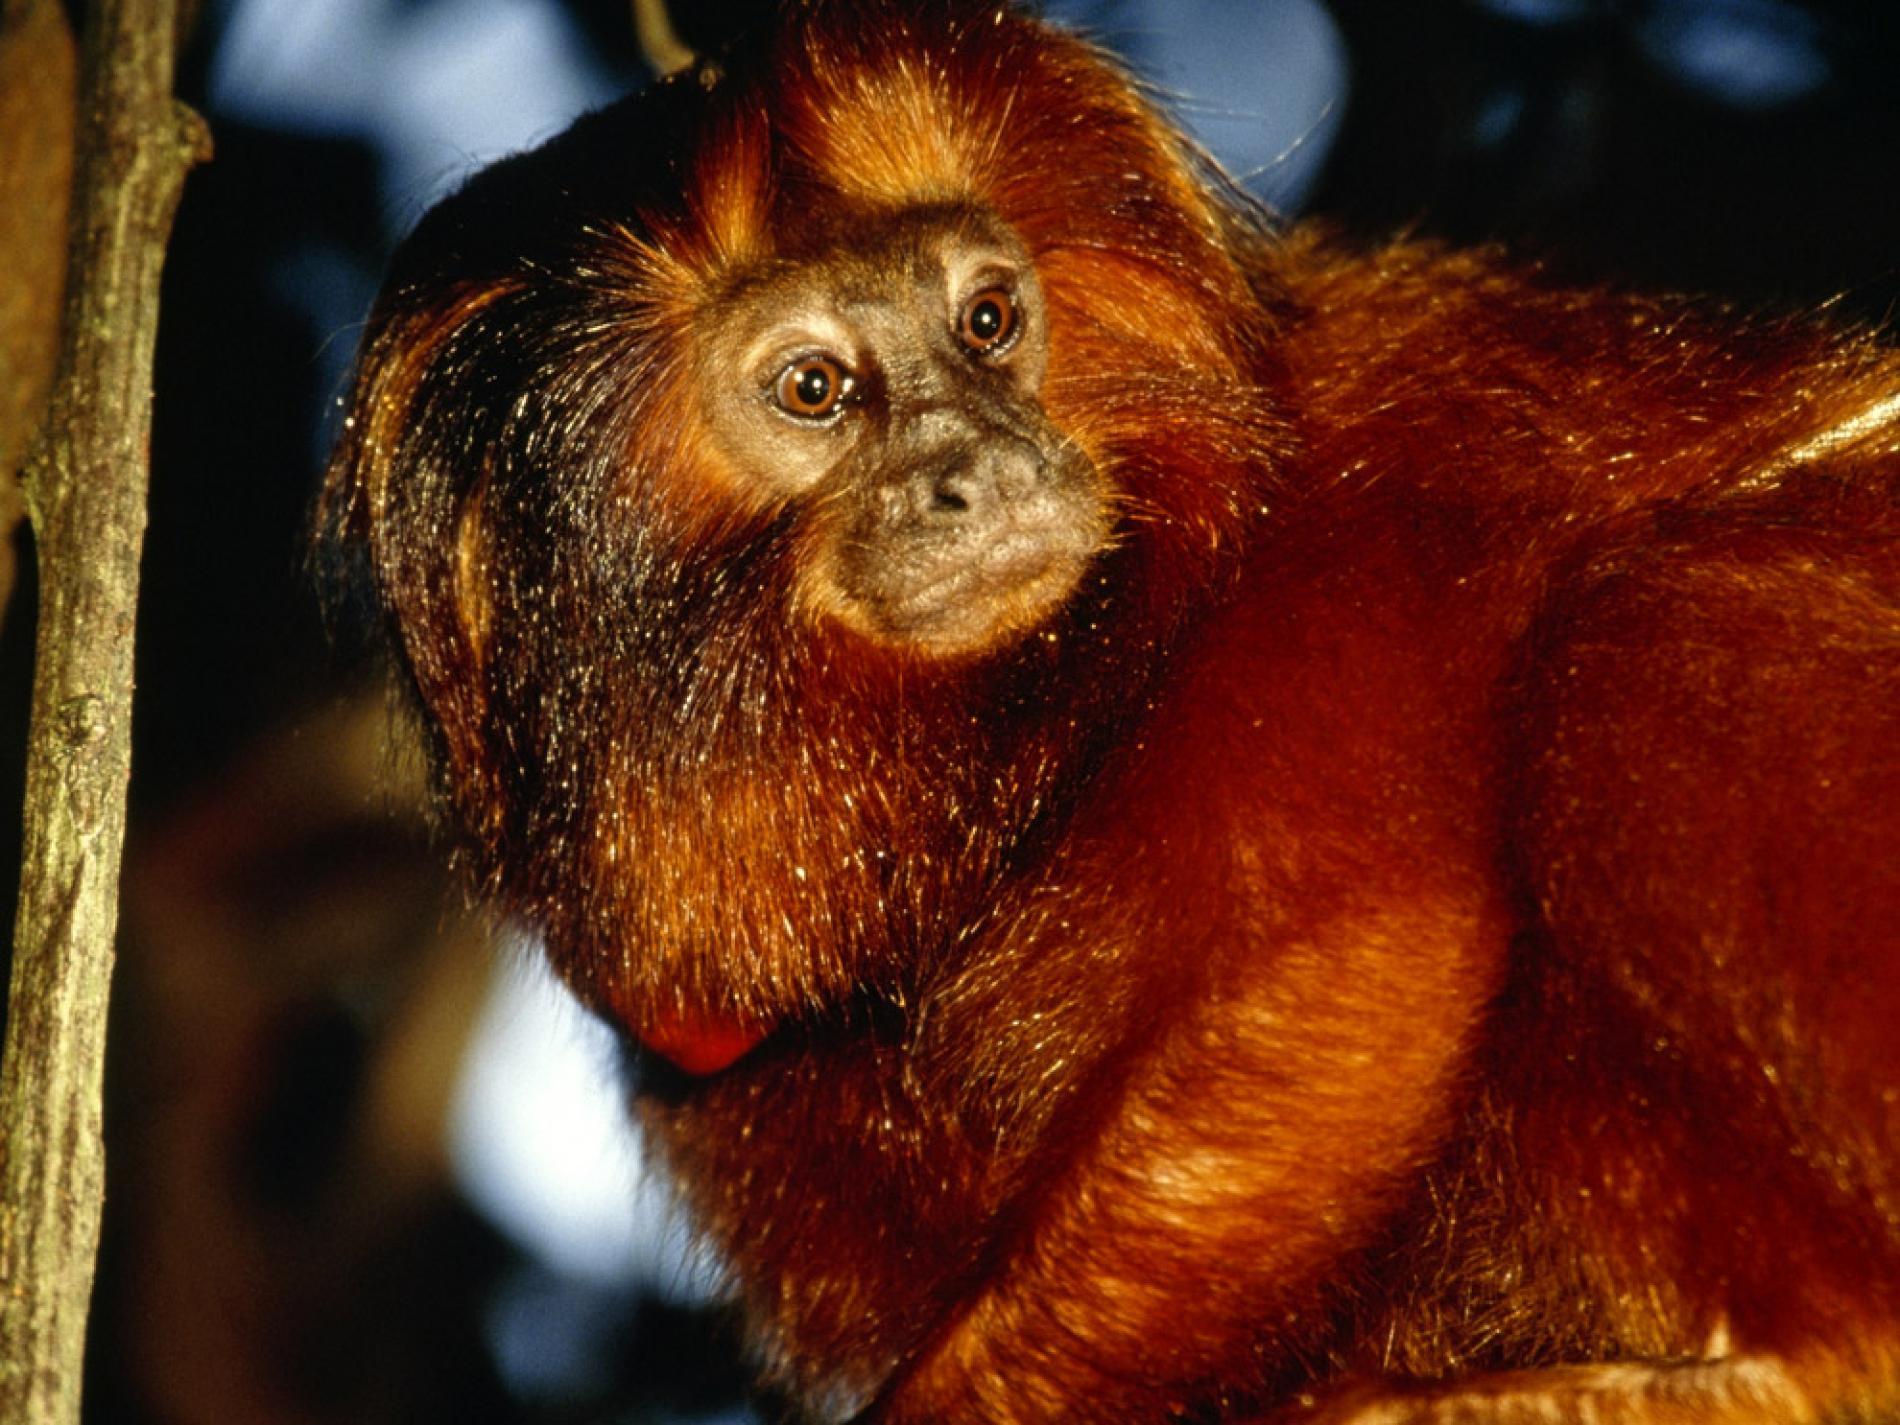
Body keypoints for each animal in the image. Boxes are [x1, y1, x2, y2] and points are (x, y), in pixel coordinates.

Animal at [319, 1, 1900, 1420]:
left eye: (988, 320)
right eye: (816, 385)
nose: (982, 470)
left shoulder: (1371, 520)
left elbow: (1339, 974)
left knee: (1642, 620)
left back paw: (1804, 1364)